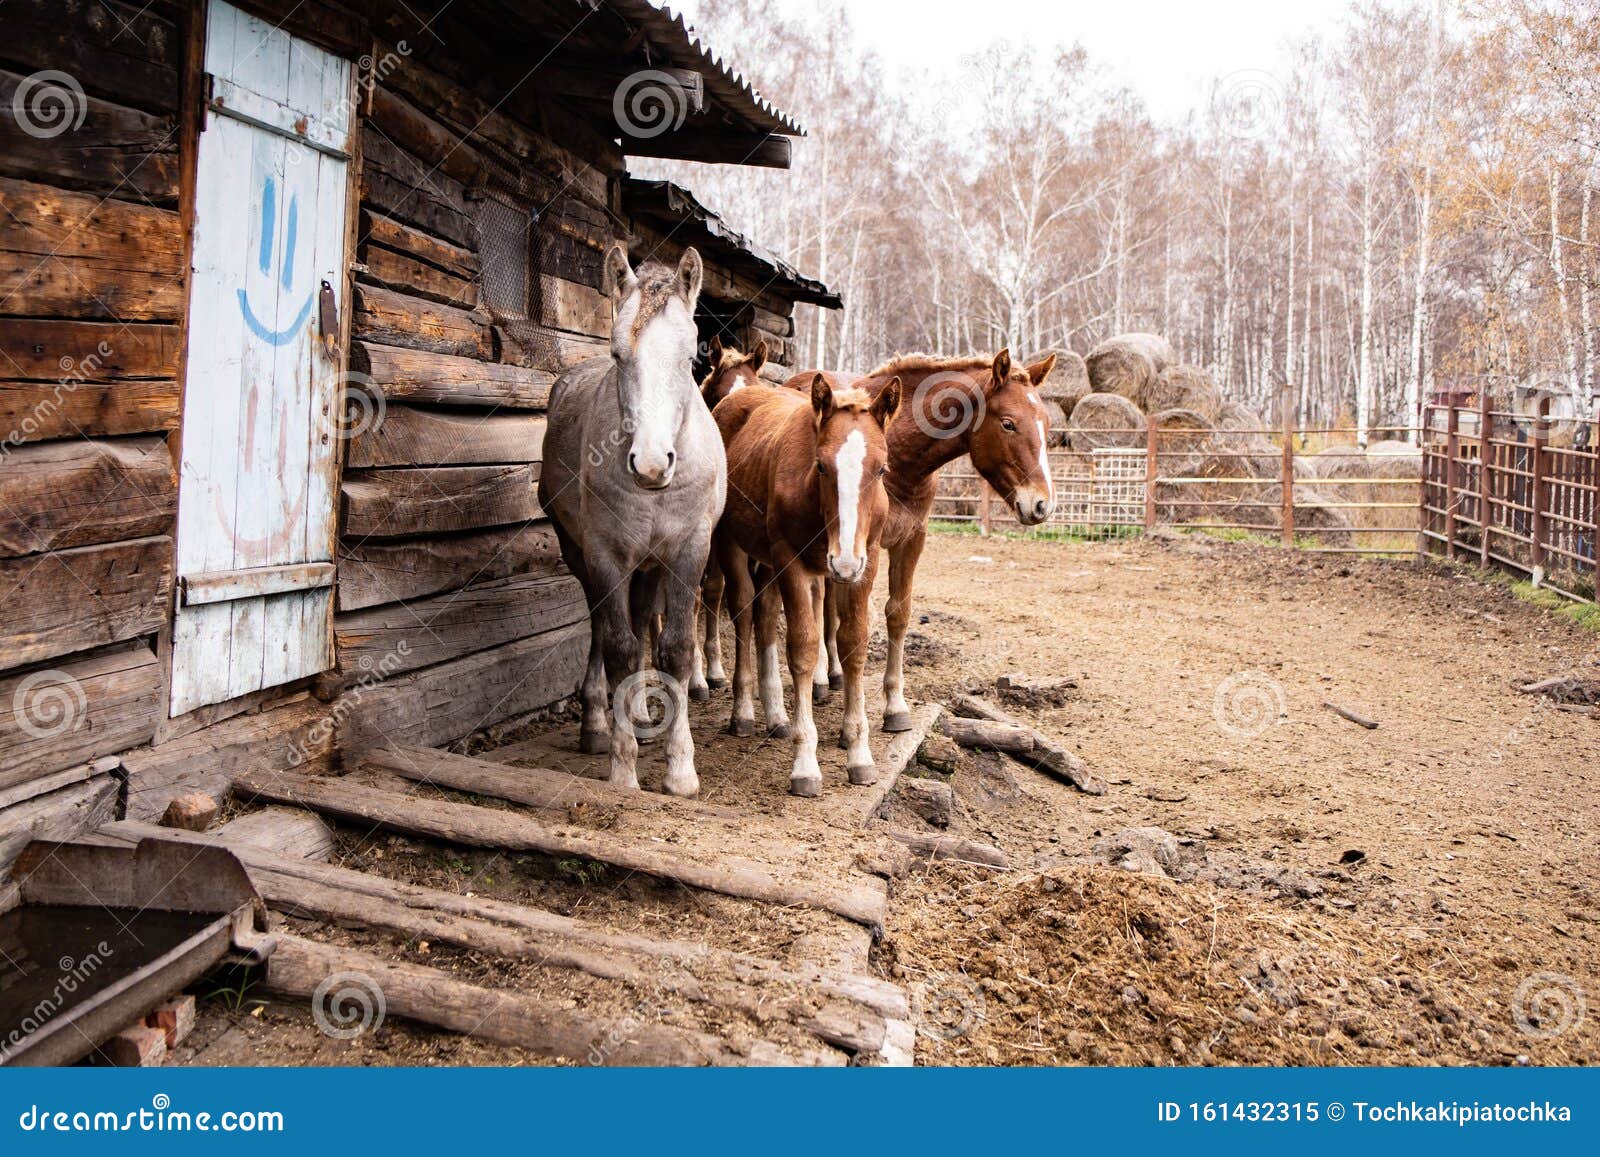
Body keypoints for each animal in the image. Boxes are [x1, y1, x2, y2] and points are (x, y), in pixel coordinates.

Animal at [538, 244, 726, 797]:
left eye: (689, 359)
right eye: (620, 356)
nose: (650, 464)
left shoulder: (688, 551)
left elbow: (676, 649)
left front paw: (681, 770)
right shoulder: (606, 554)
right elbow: (620, 646)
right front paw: (623, 769)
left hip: (649, 565)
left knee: (642, 618)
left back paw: (641, 713)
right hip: (583, 555)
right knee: (603, 625)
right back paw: (599, 723)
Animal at [711, 374, 900, 796]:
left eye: (881, 469)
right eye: (821, 465)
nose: (843, 561)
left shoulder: (868, 560)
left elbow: (853, 644)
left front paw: (859, 754)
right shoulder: (790, 561)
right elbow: (803, 648)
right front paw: (805, 765)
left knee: (764, 615)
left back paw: (776, 716)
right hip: (730, 542)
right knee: (743, 609)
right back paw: (744, 712)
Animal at [785, 349, 1058, 733]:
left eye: (1046, 424)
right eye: (1008, 424)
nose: (1042, 505)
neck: (901, 456)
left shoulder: (912, 540)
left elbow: (898, 614)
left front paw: (895, 707)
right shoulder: (867, 549)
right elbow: (858, 625)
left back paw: (833, 673)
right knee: (821, 598)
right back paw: (823, 676)